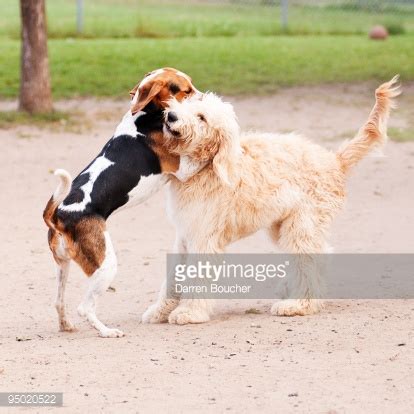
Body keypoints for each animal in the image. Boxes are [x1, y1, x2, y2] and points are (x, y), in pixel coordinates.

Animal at [42, 67, 201, 336]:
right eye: (186, 91)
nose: (206, 98)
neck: (145, 117)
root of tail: (59, 216)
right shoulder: (183, 168)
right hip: (107, 265)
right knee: (85, 308)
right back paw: (106, 331)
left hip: (63, 266)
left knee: (58, 302)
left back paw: (66, 325)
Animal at [143, 76, 402, 326]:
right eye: (186, 104)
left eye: (202, 117)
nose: (172, 116)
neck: (208, 166)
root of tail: (334, 161)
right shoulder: (185, 235)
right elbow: (172, 276)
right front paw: (159, 311)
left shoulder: (205, 237)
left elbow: (197, 276)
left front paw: (190, 312)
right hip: (283, 227)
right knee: (320, 254)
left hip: (302, 225)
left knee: (308, 260)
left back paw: (299, 304)